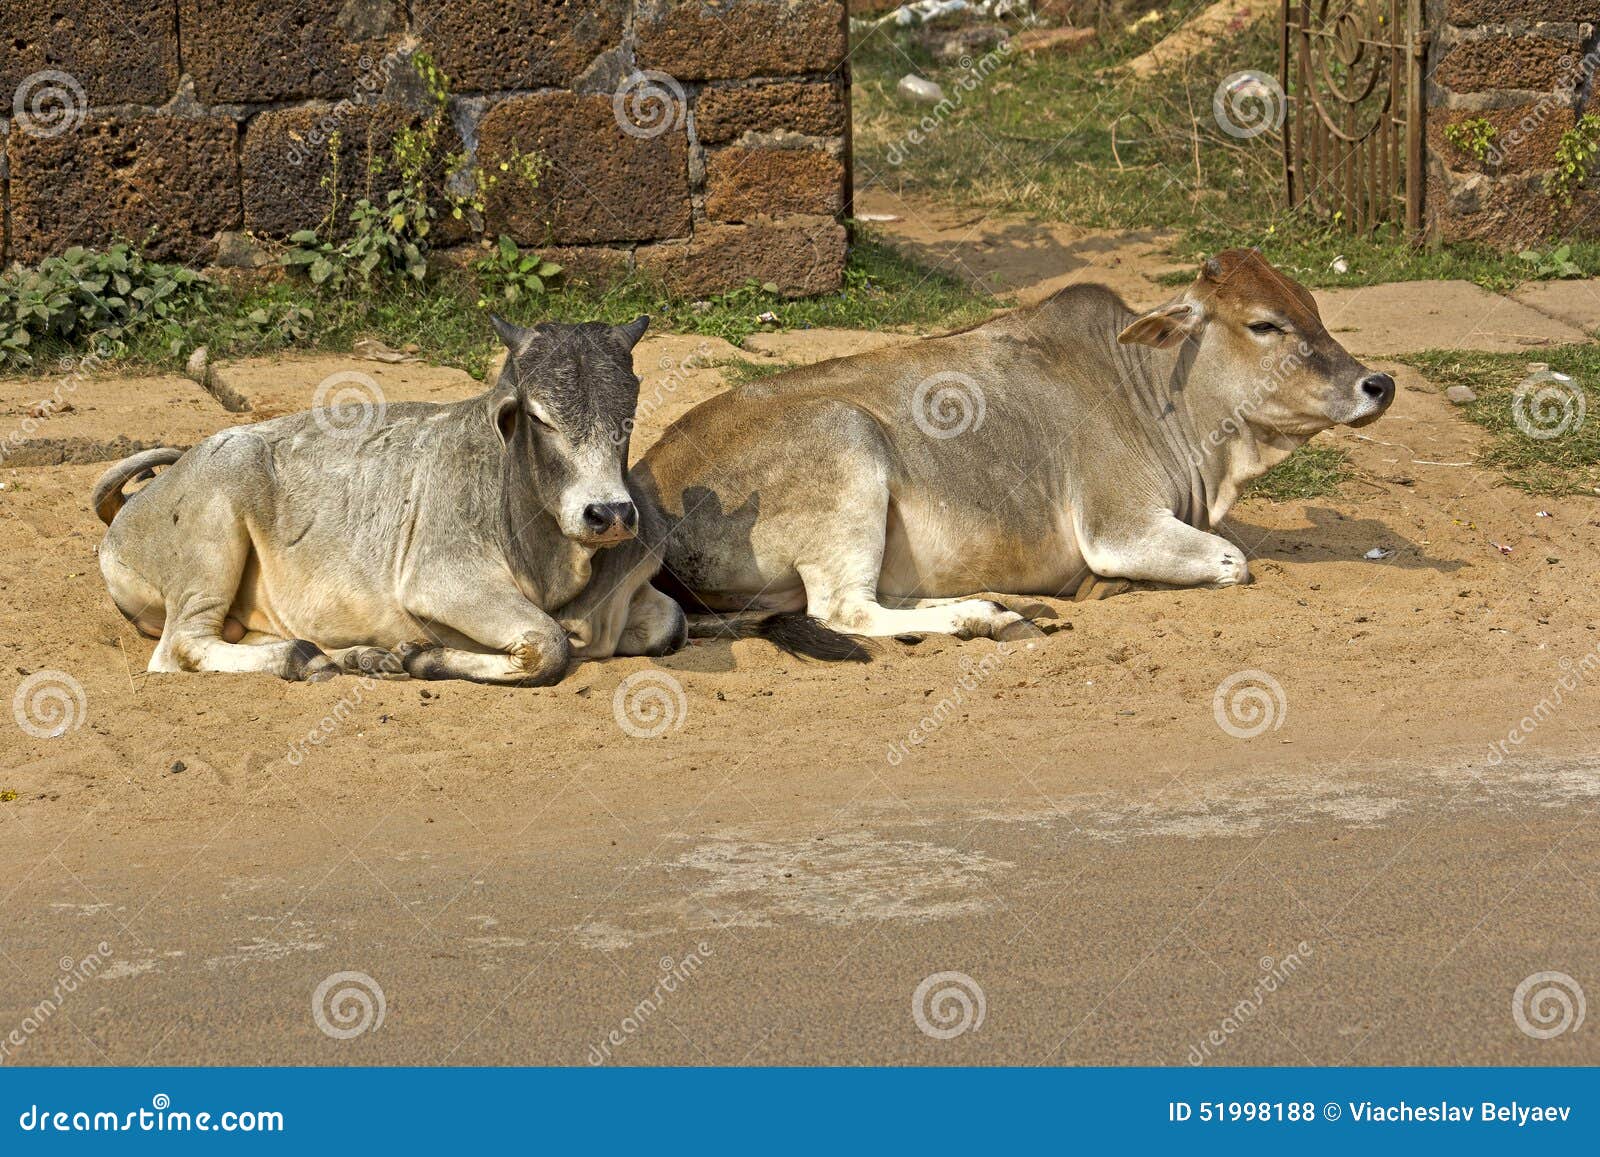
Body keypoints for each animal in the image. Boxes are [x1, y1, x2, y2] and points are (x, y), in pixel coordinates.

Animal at [91, 316, 686, 683]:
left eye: (629, 414)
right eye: (540, 418)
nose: (610, 514)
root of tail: (130, 512)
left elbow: (673, 623)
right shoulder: (442, 580)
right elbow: (551, 644)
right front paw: (423, 657)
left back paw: (357, 657)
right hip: (214, 525)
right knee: (182, 646)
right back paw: (303, 659)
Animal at [634, 249, 1394, 648]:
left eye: (1313, 308)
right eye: (1264, 325)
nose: (1378, 384)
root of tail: (649, 480)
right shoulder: (1120, 525)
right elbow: (1235, 563)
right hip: (846, 448)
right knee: (845, 609)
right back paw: (986, 615)